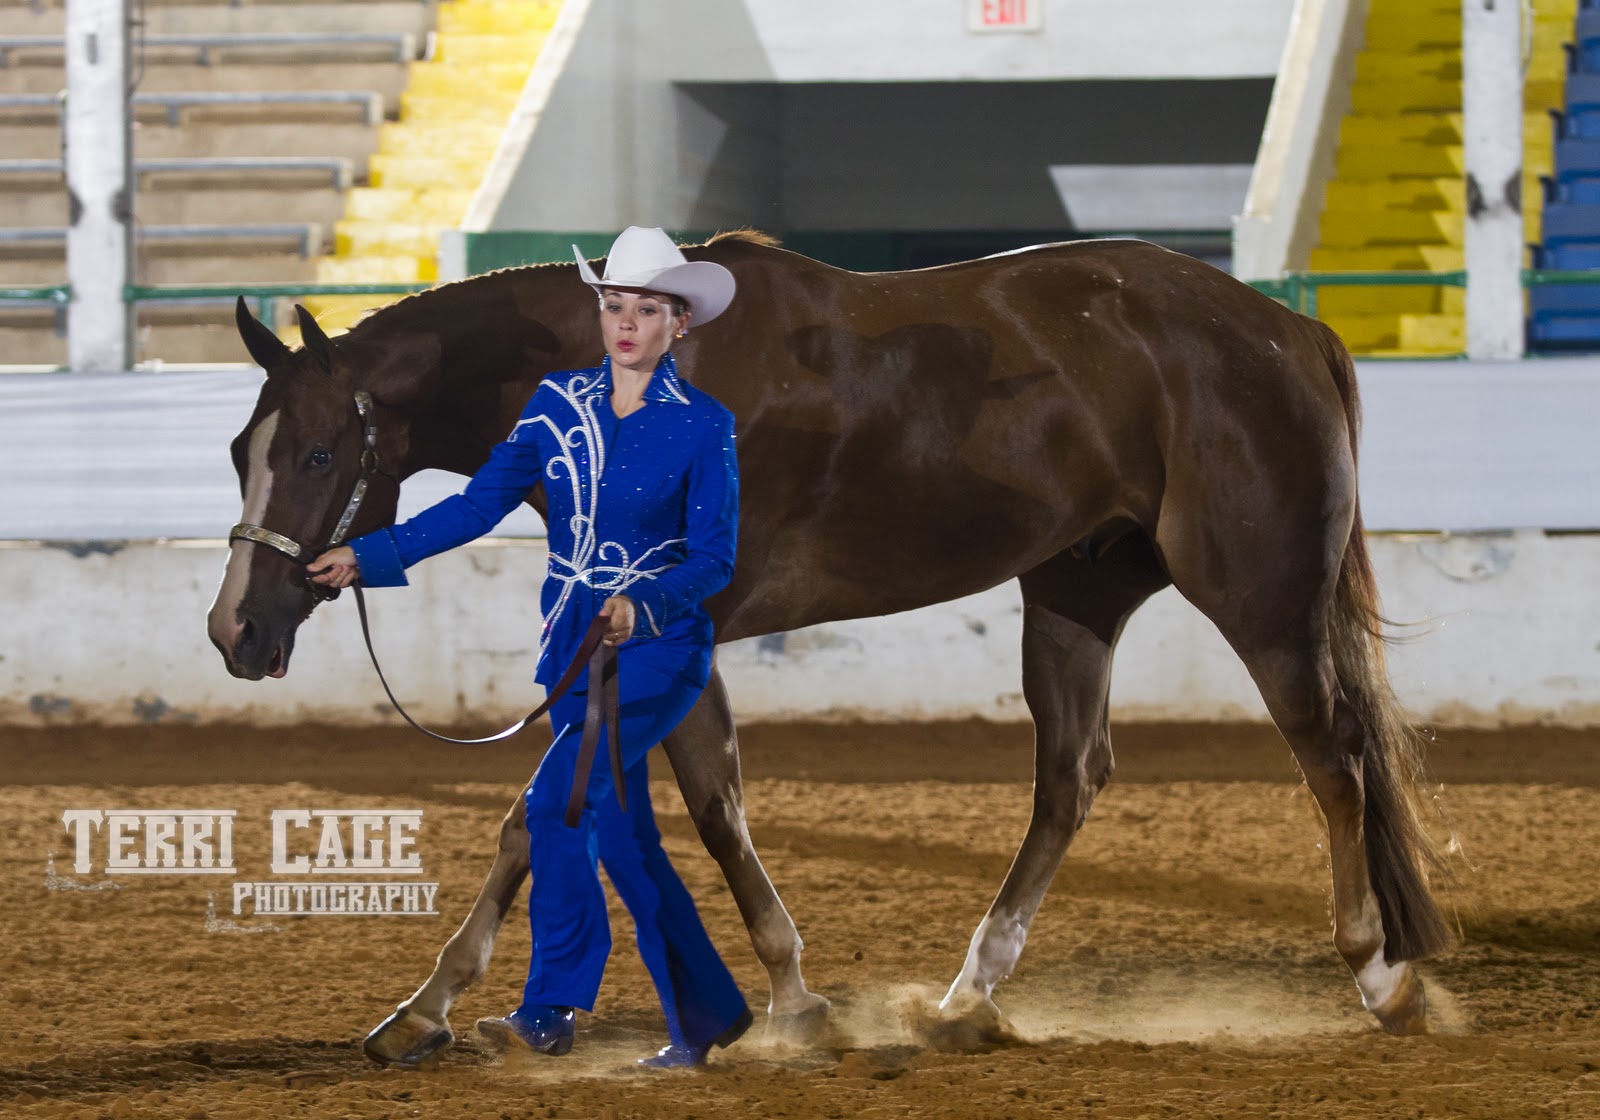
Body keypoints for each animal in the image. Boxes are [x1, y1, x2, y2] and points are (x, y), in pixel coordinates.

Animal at [207, 231, 1452, 1065]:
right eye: (238, 449)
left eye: (316, 454)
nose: (237, 628)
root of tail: (1290, 331)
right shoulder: (657, 638)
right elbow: (682, 803)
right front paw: (794, 995)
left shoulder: (670, 628)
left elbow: (570, 807)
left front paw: (424, 1006)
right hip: (1075, 591)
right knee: (1071, 780)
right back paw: (964, 996)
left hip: (1260, 597)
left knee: (1332, 759)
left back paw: (1379, 972)